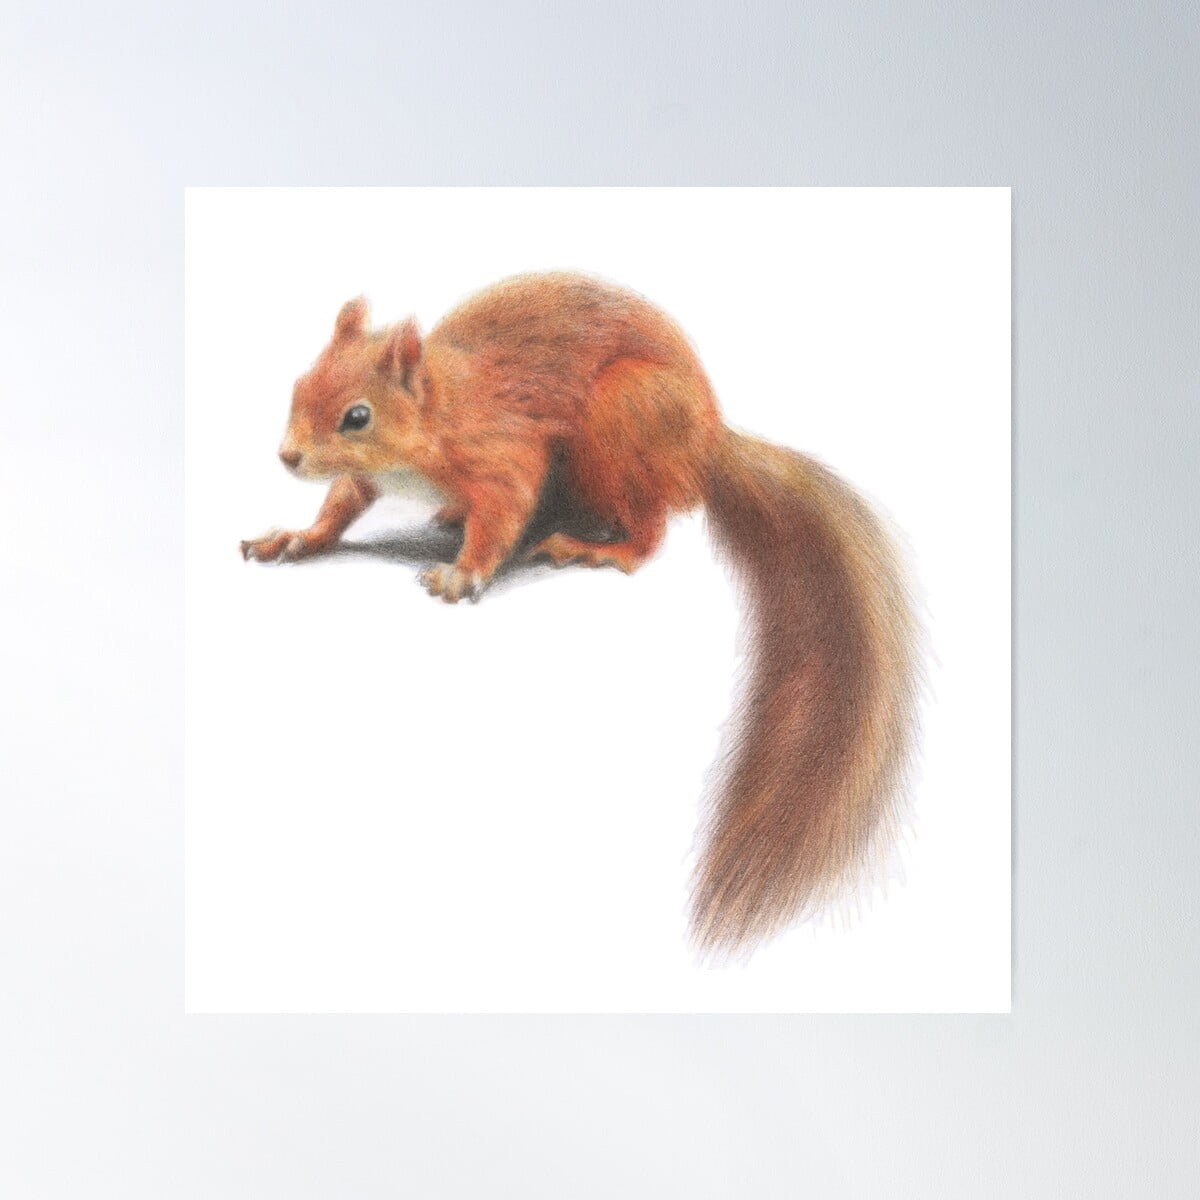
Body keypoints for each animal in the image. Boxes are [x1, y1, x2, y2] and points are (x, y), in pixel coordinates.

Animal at [241, 272, 921, 961]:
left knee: (649, 528)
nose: (288, 456)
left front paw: (463, 572)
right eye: (298, 385)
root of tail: (707, 441)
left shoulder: (503, 449)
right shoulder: (370, 480)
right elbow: (339, 506)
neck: (441, 408)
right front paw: (295, 537)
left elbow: (503, 508)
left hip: (623, 418)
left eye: (358, 417)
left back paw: (599, 547)